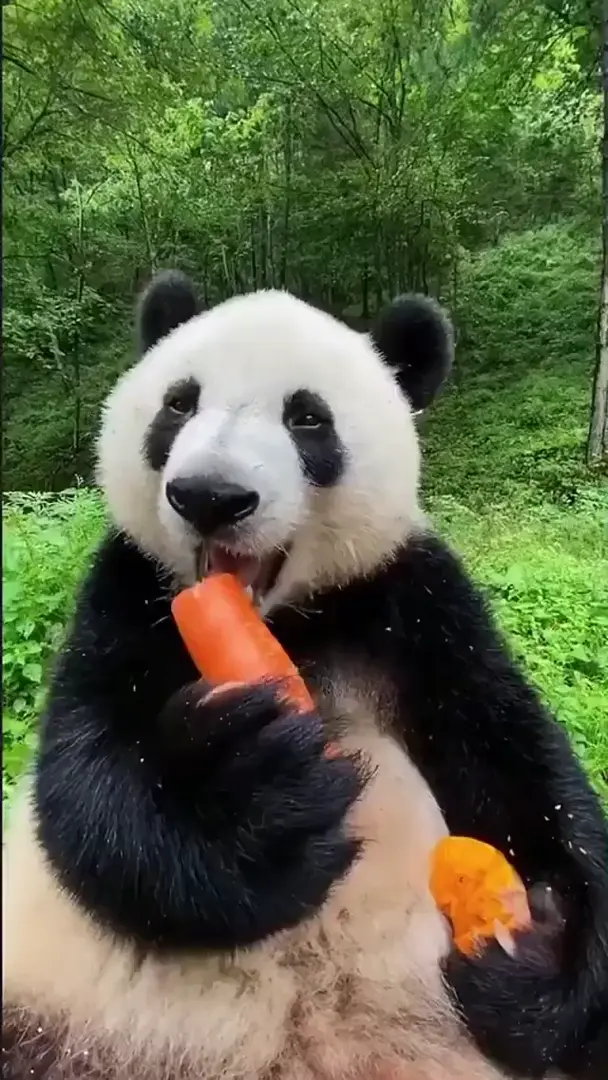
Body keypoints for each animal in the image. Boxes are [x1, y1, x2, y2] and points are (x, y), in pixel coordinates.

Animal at [3, 272, 608, 1080]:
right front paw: (253, 789)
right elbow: (90, 791)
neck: (288, 624)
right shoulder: (128, 594)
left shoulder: (416, 606)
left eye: (308, 418)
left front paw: (534, 957)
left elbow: (523, 774)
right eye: (178, 403)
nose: (210, 496)